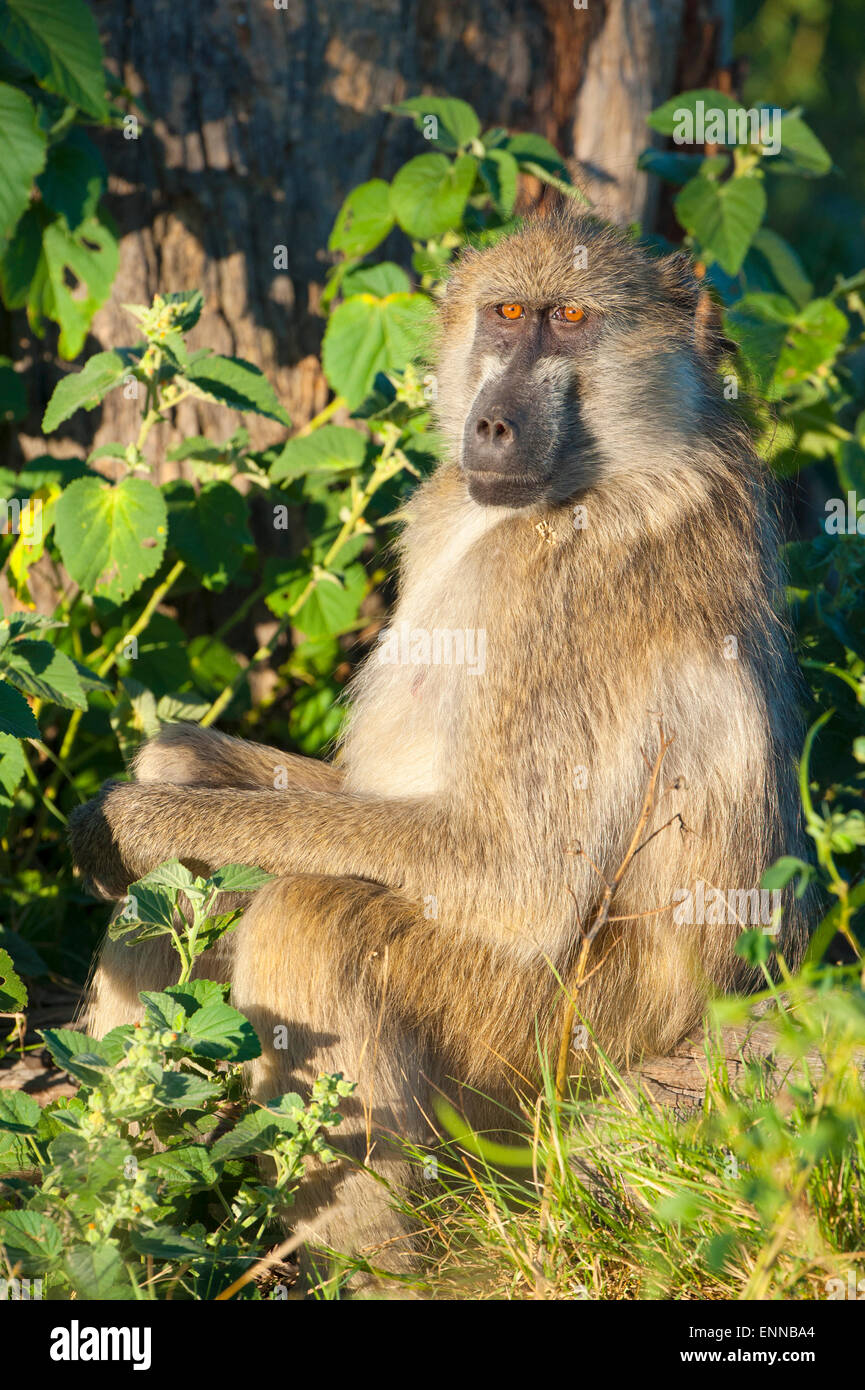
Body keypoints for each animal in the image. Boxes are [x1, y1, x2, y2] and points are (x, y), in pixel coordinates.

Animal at [69, 211, 811, 1278]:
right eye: (505, 314)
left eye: (570, 320)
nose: (493, 426)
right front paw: (158, 807)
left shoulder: (562, 598)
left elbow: (511, 876)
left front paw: (126, 823)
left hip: (546, 1061)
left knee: (309, 923)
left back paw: (369, 1275)